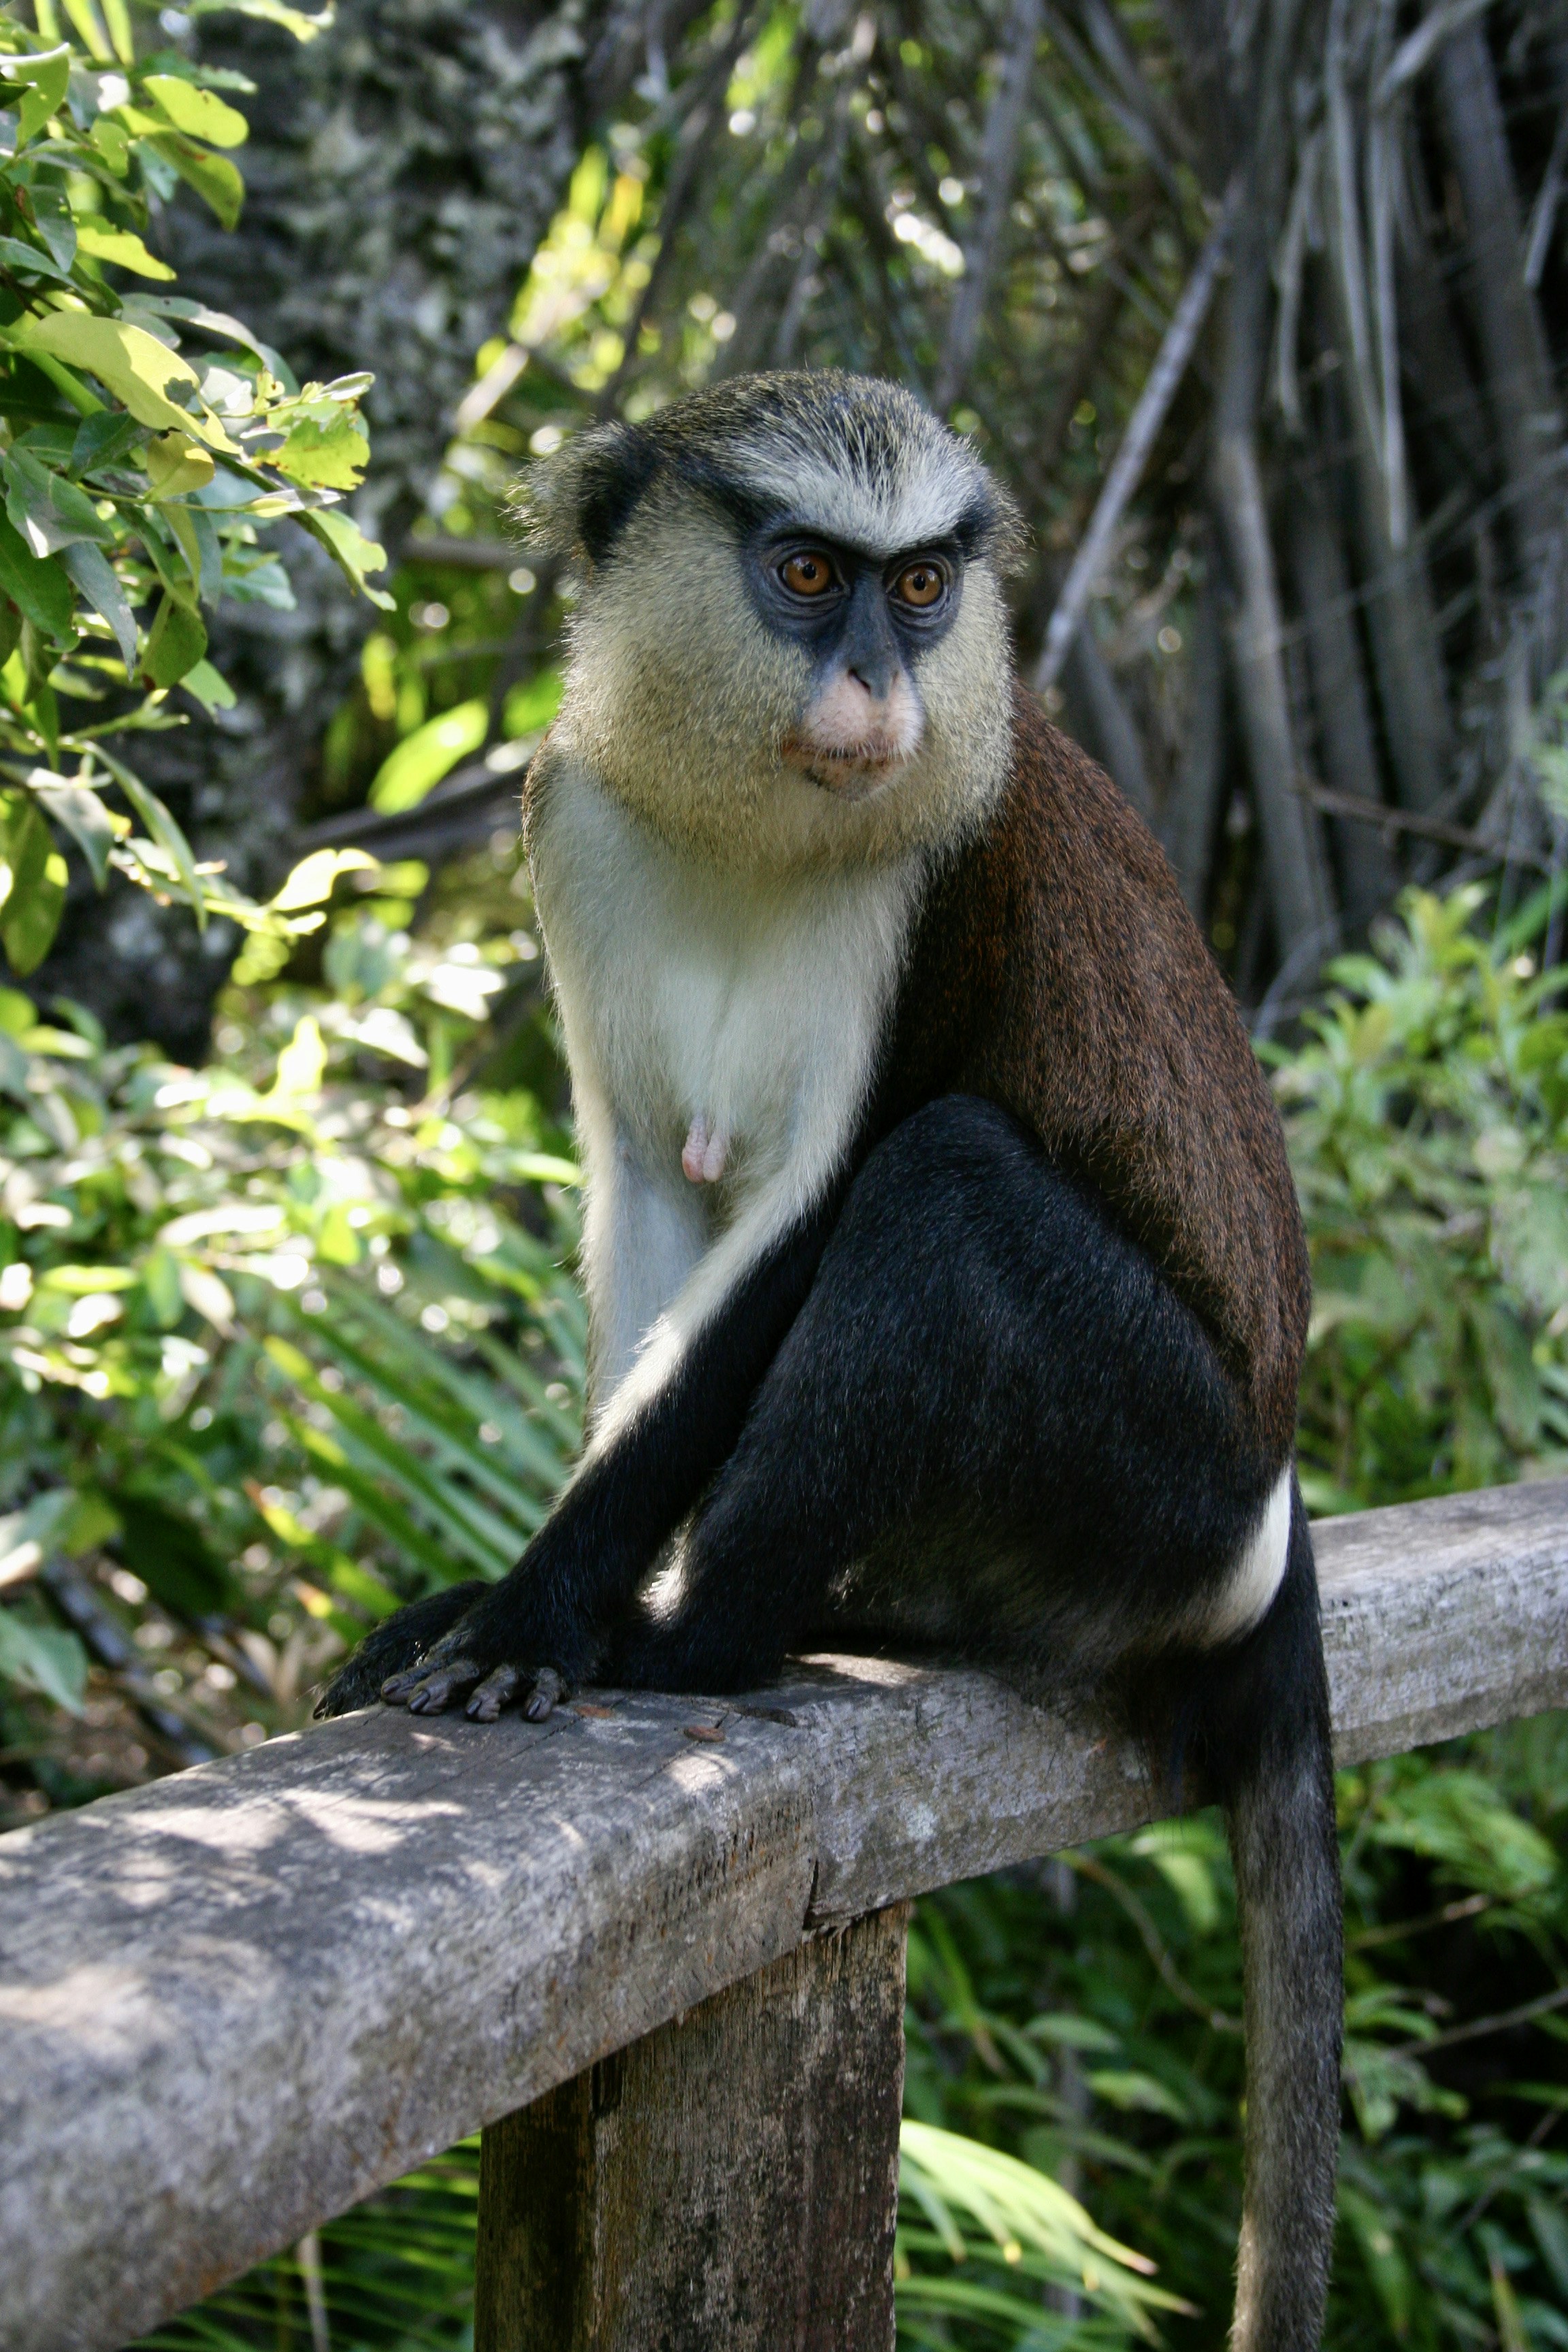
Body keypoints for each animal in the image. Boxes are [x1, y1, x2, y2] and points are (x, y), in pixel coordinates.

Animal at [317, 372, 1341, 2352]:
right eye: (806, 573)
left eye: (924, 585)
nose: (878, 682)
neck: (755, 831)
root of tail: (1270, 1525)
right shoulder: (578, 824)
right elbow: (656, 1196)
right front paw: (517, 1595)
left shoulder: (948, 889)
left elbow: (809, 1223)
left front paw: (537, 1625)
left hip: (1154, 1471)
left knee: (941, 1191)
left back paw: (686, 1642)